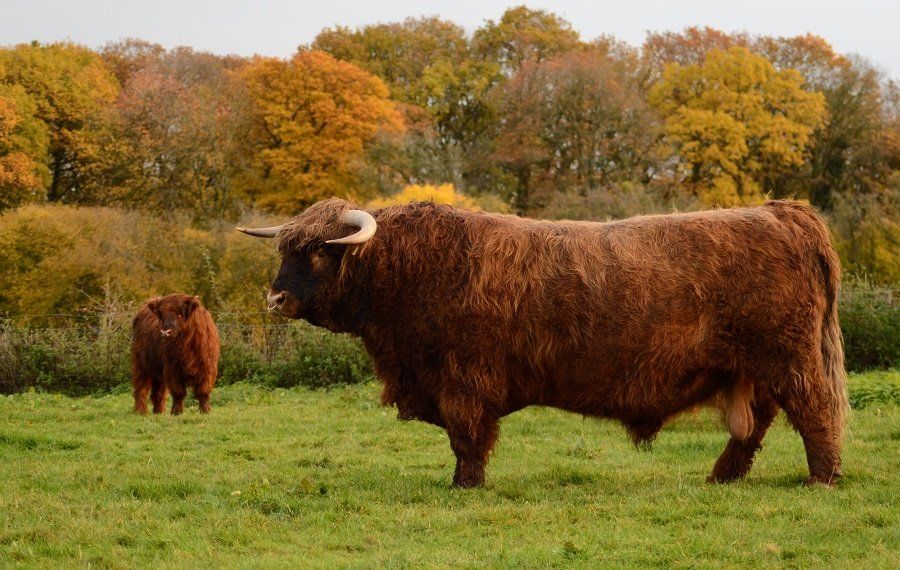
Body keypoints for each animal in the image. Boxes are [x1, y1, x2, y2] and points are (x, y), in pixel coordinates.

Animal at [237, 198, 848, 488]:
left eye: (320, 251)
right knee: (755, 424)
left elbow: (467, 440)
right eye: (283, 249)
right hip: (755, 367)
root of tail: (779, 211)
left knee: (814, 412)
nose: (275, 299)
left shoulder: (461, 380)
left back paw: (821, 479)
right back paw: (720, 477)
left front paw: (464, 487)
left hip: (789, 356)